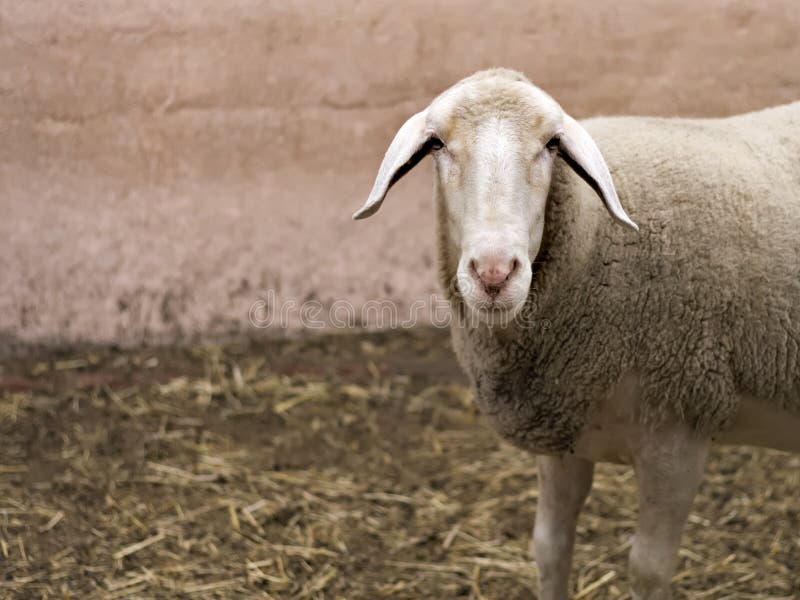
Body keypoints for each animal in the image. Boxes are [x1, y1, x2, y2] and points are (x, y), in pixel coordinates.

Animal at [353, 68, 800, 599]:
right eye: (437, 143)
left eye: (552, 144)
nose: (494, 273)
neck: (595, 240)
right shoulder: (564, 428)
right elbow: (550, 547)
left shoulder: (681, 427)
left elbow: (648, 569)